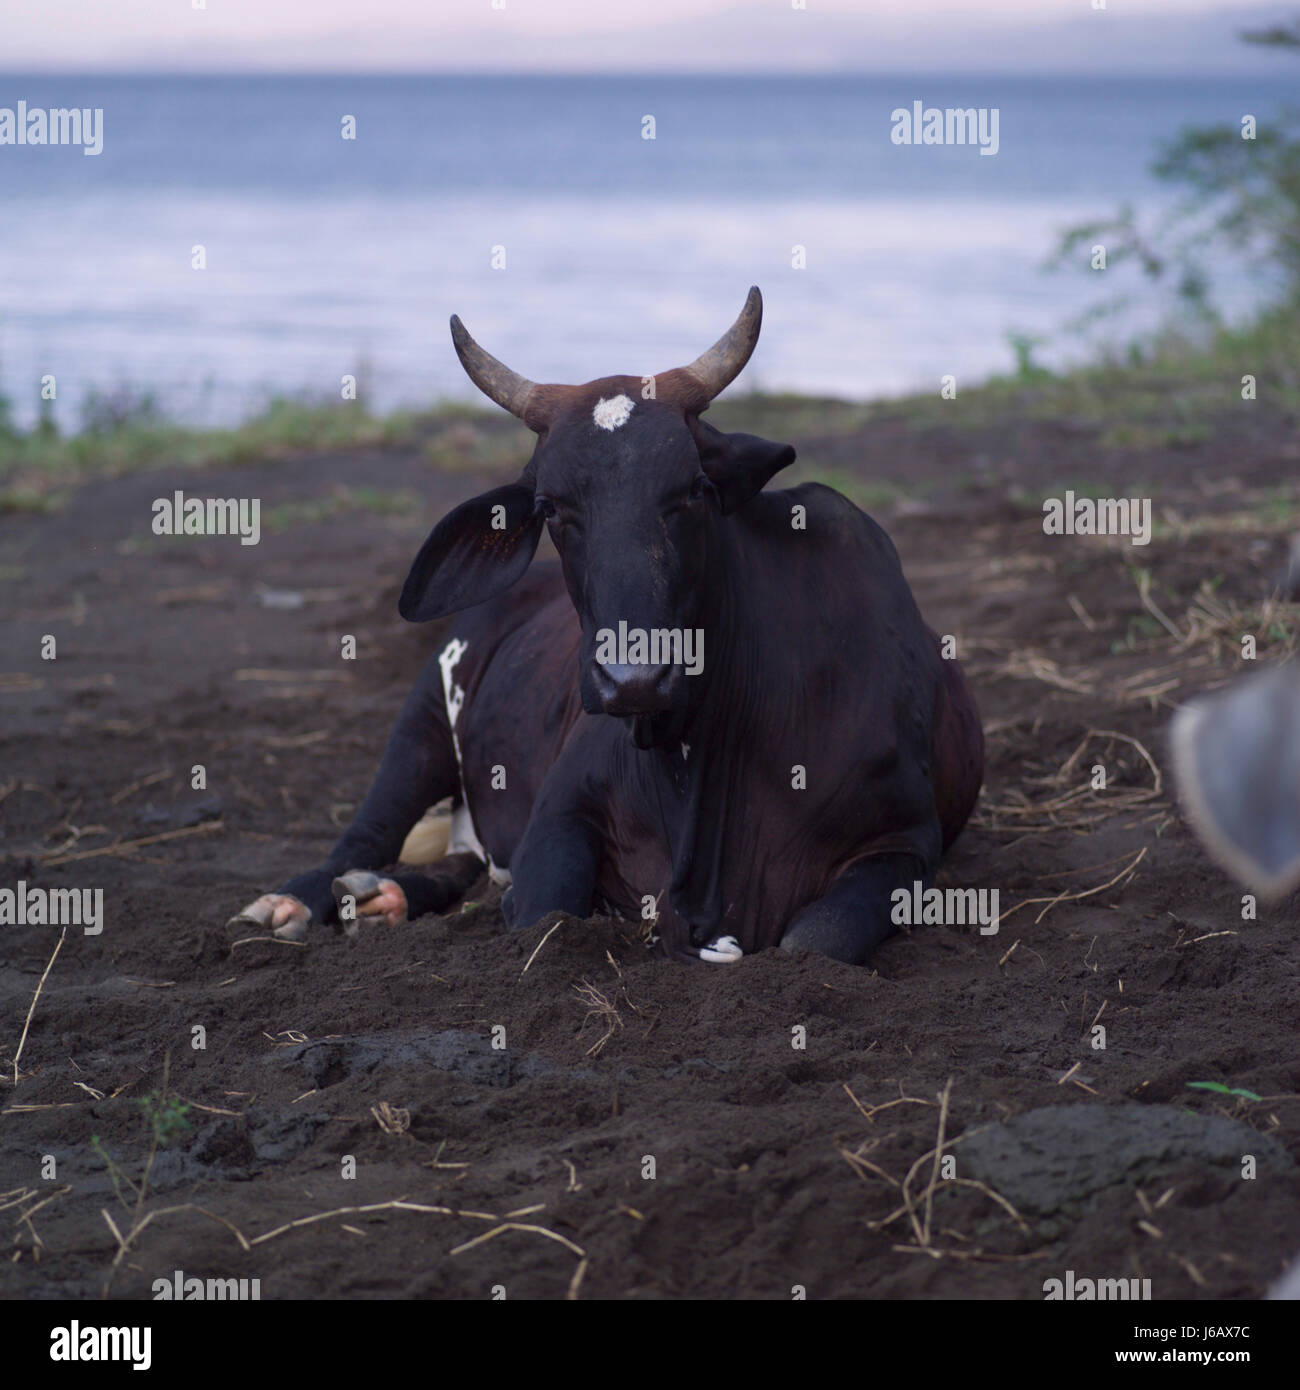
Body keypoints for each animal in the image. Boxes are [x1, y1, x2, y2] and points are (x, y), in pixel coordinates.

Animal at [229, 288, 984, 965]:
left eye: (693, 491)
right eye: (550, 507)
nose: (634, 679)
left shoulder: (905, 843)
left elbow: (814, 941)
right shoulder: (558, 816)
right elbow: (548, 912)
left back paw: (386, 898)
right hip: (422, 720)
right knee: (369, 832)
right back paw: (299, 901)